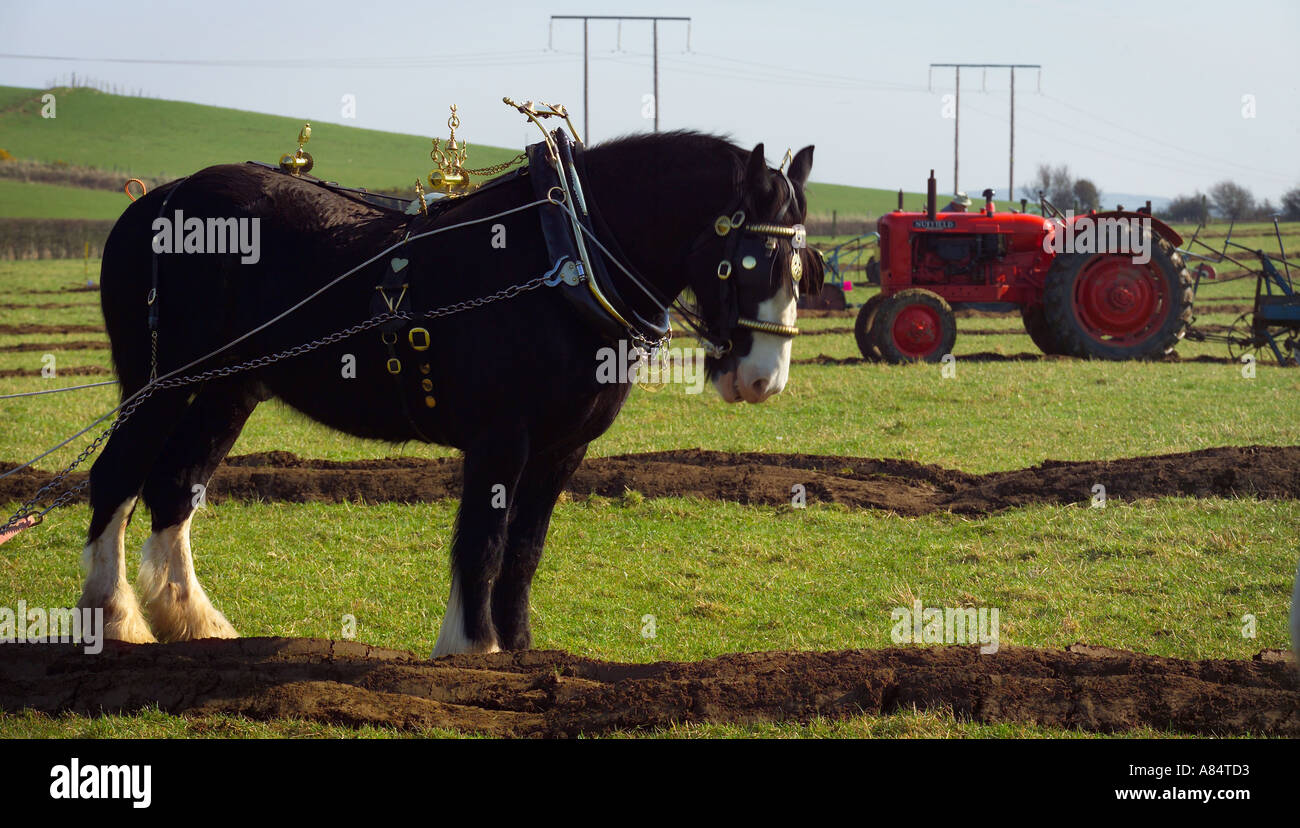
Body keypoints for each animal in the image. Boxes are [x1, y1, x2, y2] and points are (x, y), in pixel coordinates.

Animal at [77, 129, 822, 656]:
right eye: (746, 259)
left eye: (803, 265)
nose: (764, 379)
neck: (566, 255)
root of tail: (159, 198)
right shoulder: (501, 438)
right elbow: (484, 543)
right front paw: (471, 649)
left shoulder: (563, 449)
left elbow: (524, 550)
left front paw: (520, 651)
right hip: (159, 383)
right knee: (115, 476)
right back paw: (112, 618)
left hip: (227, 389)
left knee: (174, 487)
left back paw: (192, 621)